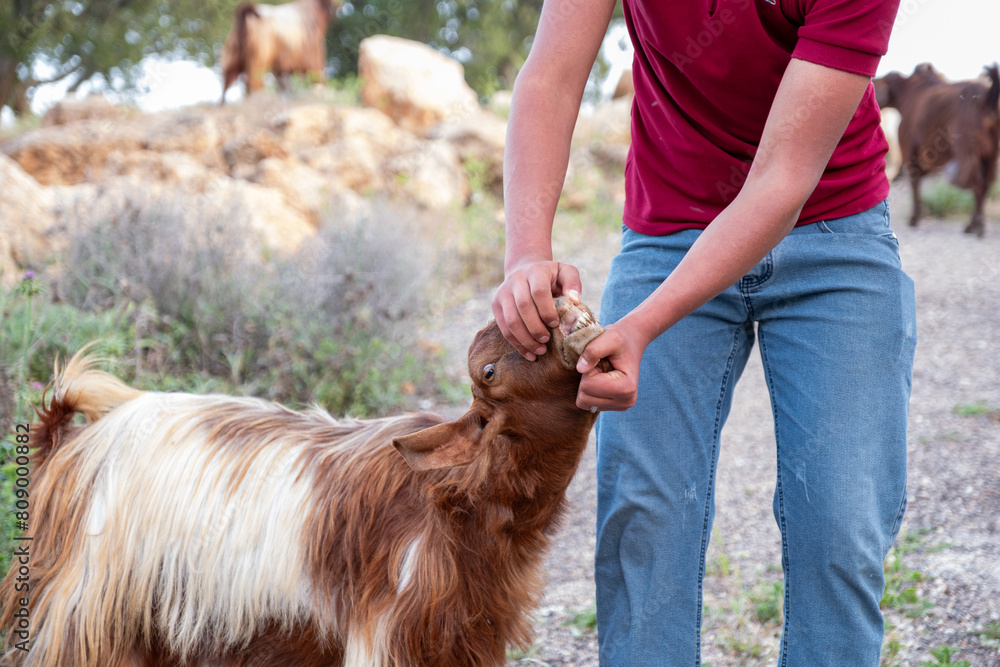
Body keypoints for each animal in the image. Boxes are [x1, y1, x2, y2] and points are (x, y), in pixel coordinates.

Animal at [0, 298, 605, 667]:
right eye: (489, 372)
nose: (552, 302)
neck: (460, 506)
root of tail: (69, 444)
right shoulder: (390, 633)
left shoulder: (468, 635)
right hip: (86, 613)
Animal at [874, 62, 1000, 237]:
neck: (911, 91)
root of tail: (987, 97)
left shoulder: (909, 150)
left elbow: (914, 182)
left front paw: (914, 218)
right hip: (991, 153)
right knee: (986, 184)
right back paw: (975, 224)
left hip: (968, 150)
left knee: (978, 184)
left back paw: (975, 226)